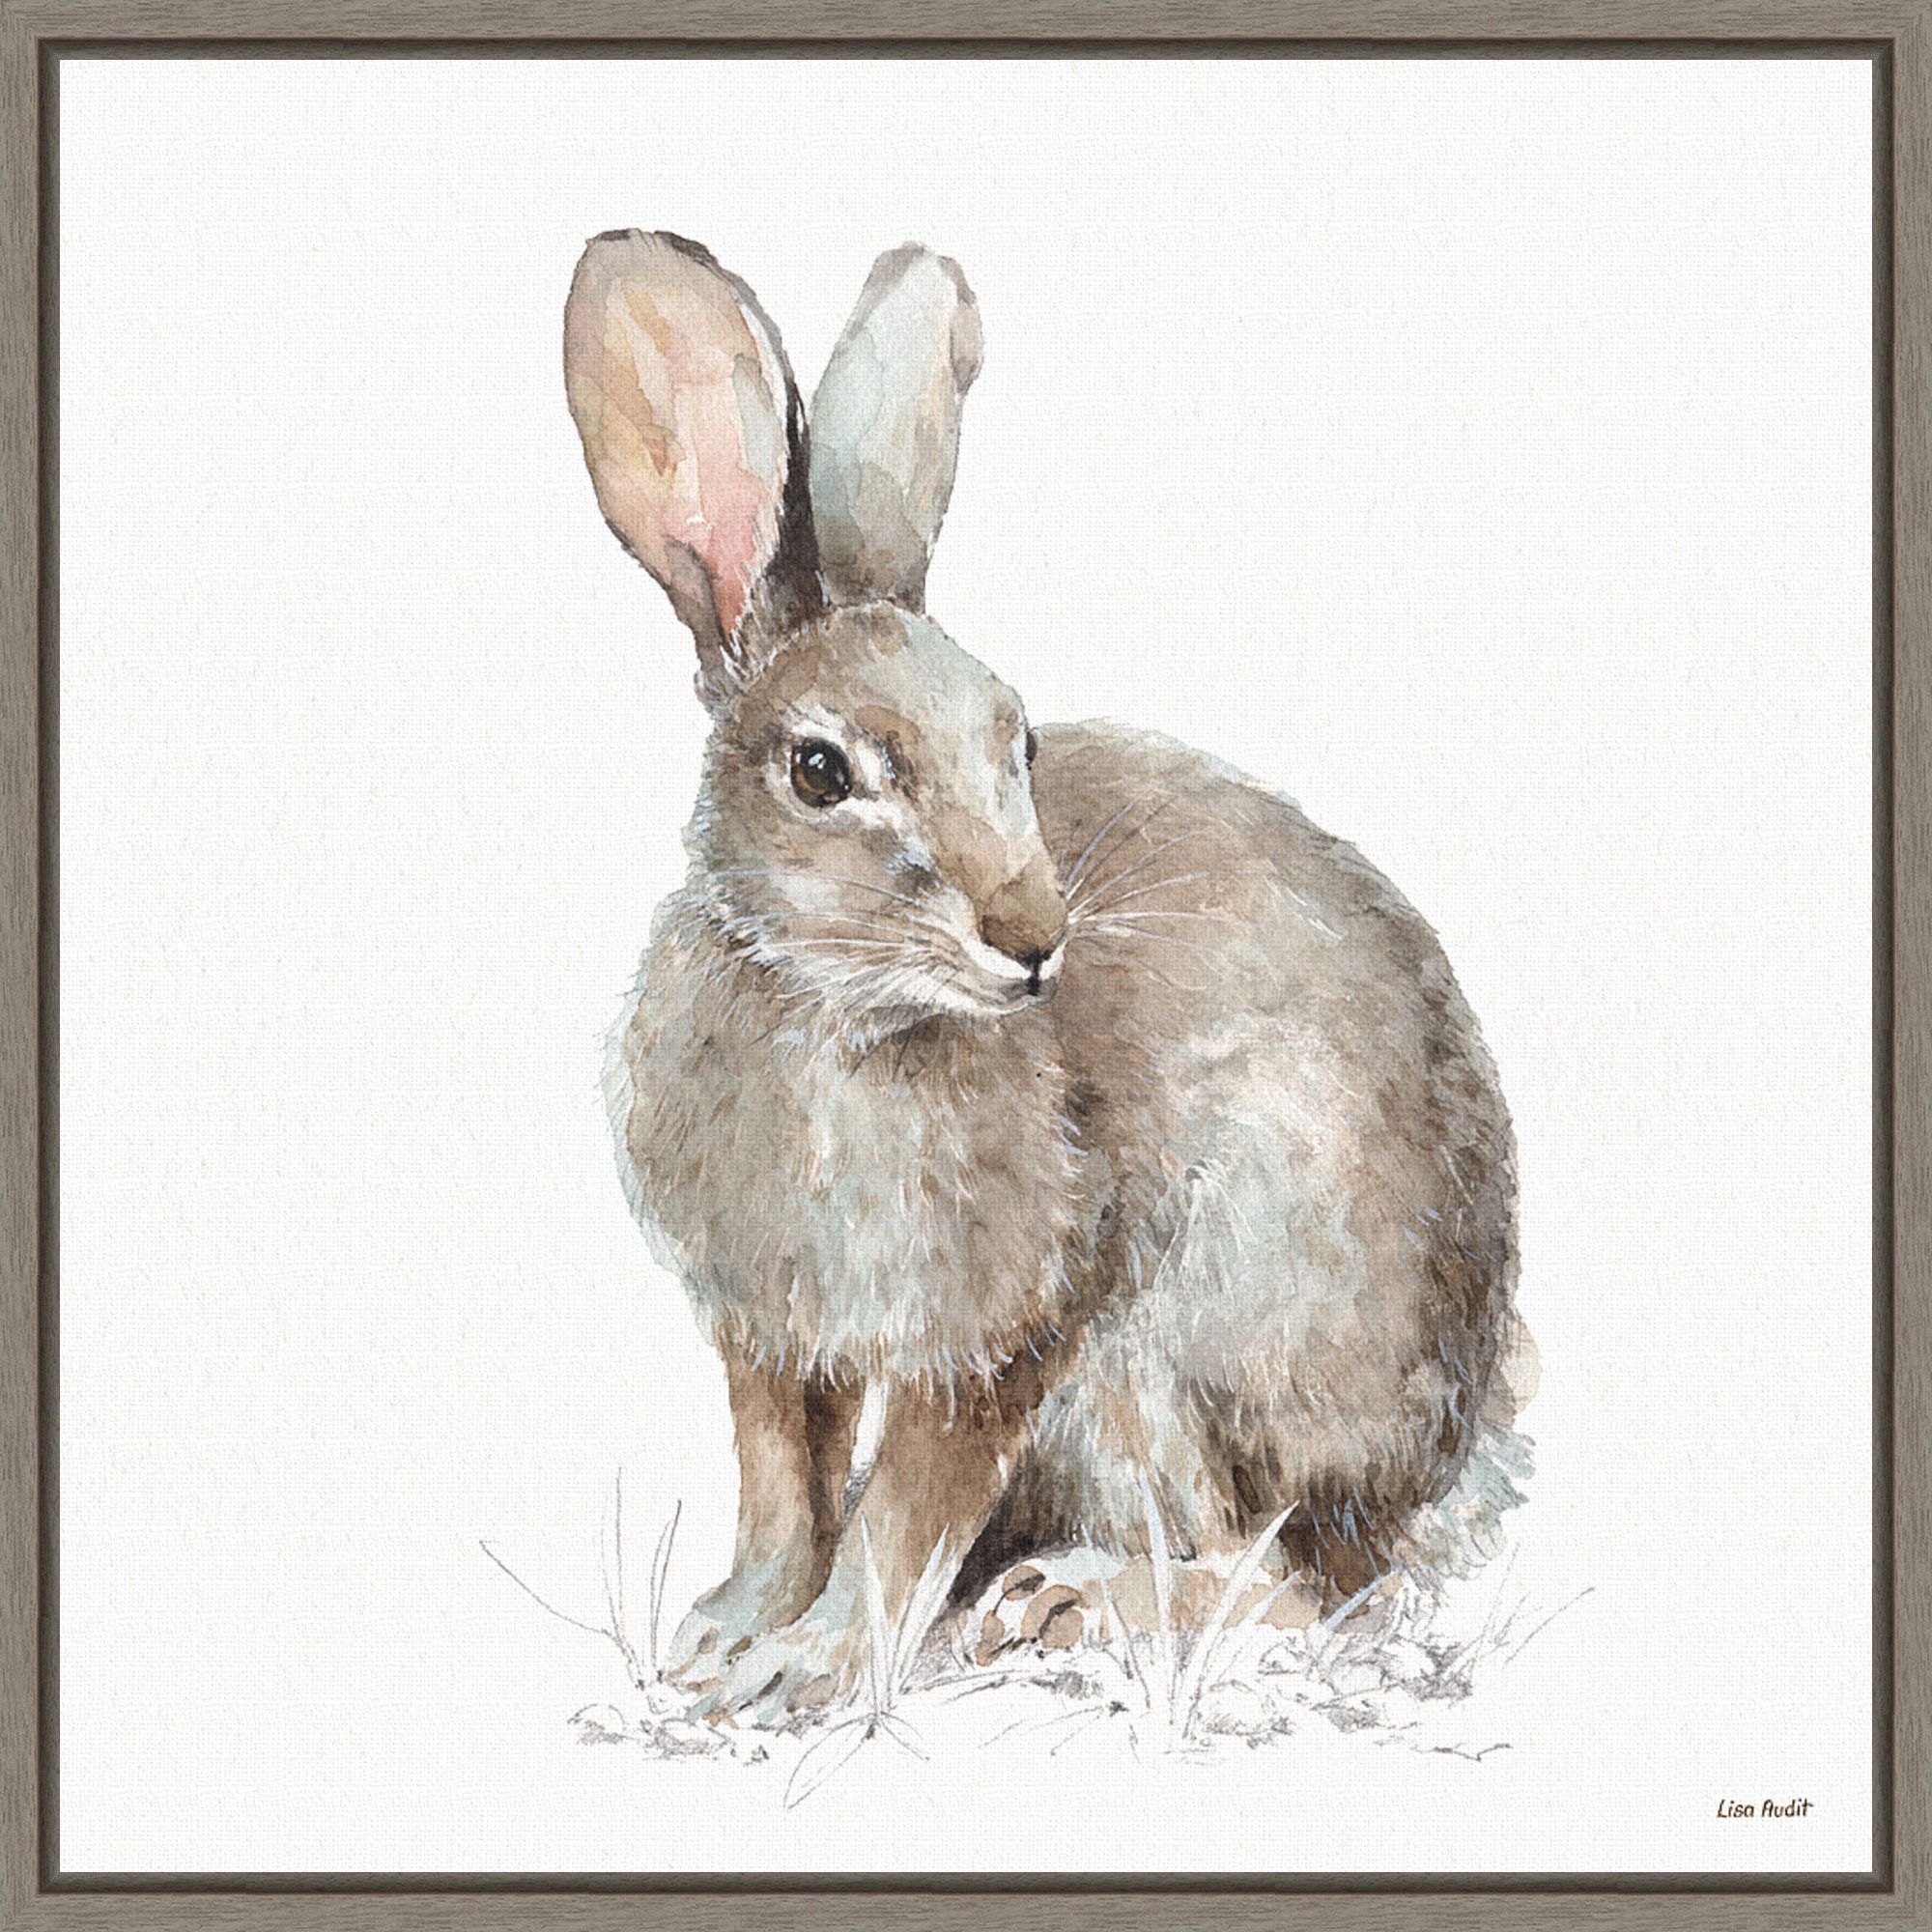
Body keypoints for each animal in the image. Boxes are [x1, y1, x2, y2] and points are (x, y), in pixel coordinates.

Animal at [563, 230, 1524, 1722]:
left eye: (1013, 742)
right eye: (820, 771)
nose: (1032, 936)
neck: (838, 1017)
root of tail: (1445, 1451)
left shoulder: (1008, 1330)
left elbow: (902, 1512)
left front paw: (814, 1666)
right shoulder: (774, 1339)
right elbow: (785, 1492)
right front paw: (729, 1639)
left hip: (1193, 1358)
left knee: (1299, 1574)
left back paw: (1072, 1599)